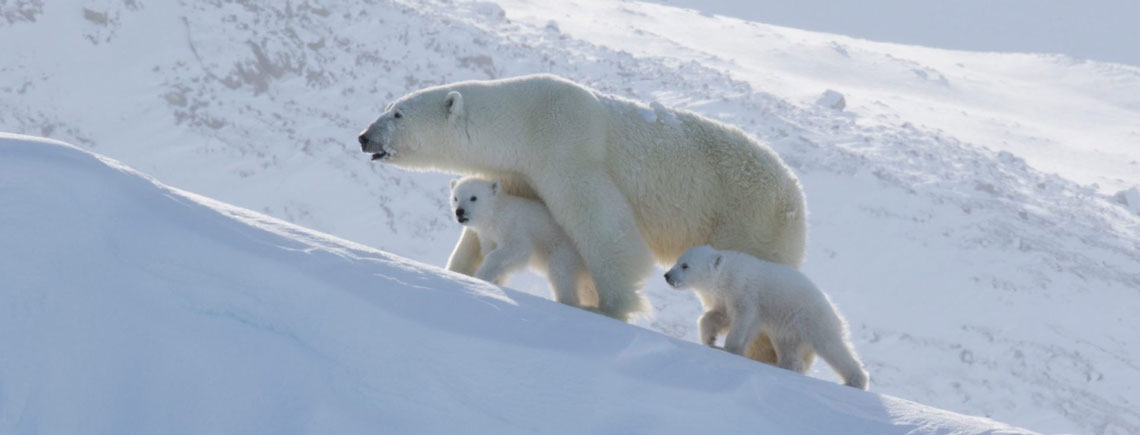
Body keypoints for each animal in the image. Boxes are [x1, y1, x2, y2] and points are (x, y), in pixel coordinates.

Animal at [449, 176, 600, 309]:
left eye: (473, 197)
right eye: (456, 197)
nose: (459, 211)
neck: (496, 214)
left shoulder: (513, 227)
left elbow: (518, 250)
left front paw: (481, 276)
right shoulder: (488, 236)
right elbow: (493, 253)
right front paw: (496, 280)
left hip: (563, 251)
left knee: (560, 272)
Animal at [664, 245, 869, 390]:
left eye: (685, 265)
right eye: (678, 260)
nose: (667, 275)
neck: (728, 273)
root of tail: (834, 311)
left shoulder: (746, 293)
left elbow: (741, 320)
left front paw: (729, 349)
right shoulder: (726, 297)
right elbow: (719, 316)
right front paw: (711, 339)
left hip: (813, 319)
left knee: (833, 348)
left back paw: (855, 381)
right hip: (788, 328)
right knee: (789, 352)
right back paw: (782, 366)